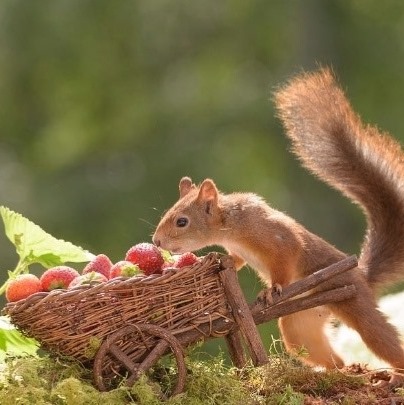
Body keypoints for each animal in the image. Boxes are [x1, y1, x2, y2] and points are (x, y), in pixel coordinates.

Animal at [152, 69, 404, 386]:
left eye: (182, 221)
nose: (157, 242)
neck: (231, 225)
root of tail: (362, 275)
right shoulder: (239, 250)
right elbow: (235, 260)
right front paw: (213, 257)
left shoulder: (275, 236)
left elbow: (287, 255)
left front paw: (272, 289)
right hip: (300, 324)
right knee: (331, 357)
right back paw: (336, 371)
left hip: (354, 302)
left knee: (380, 337)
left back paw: (394, 375)